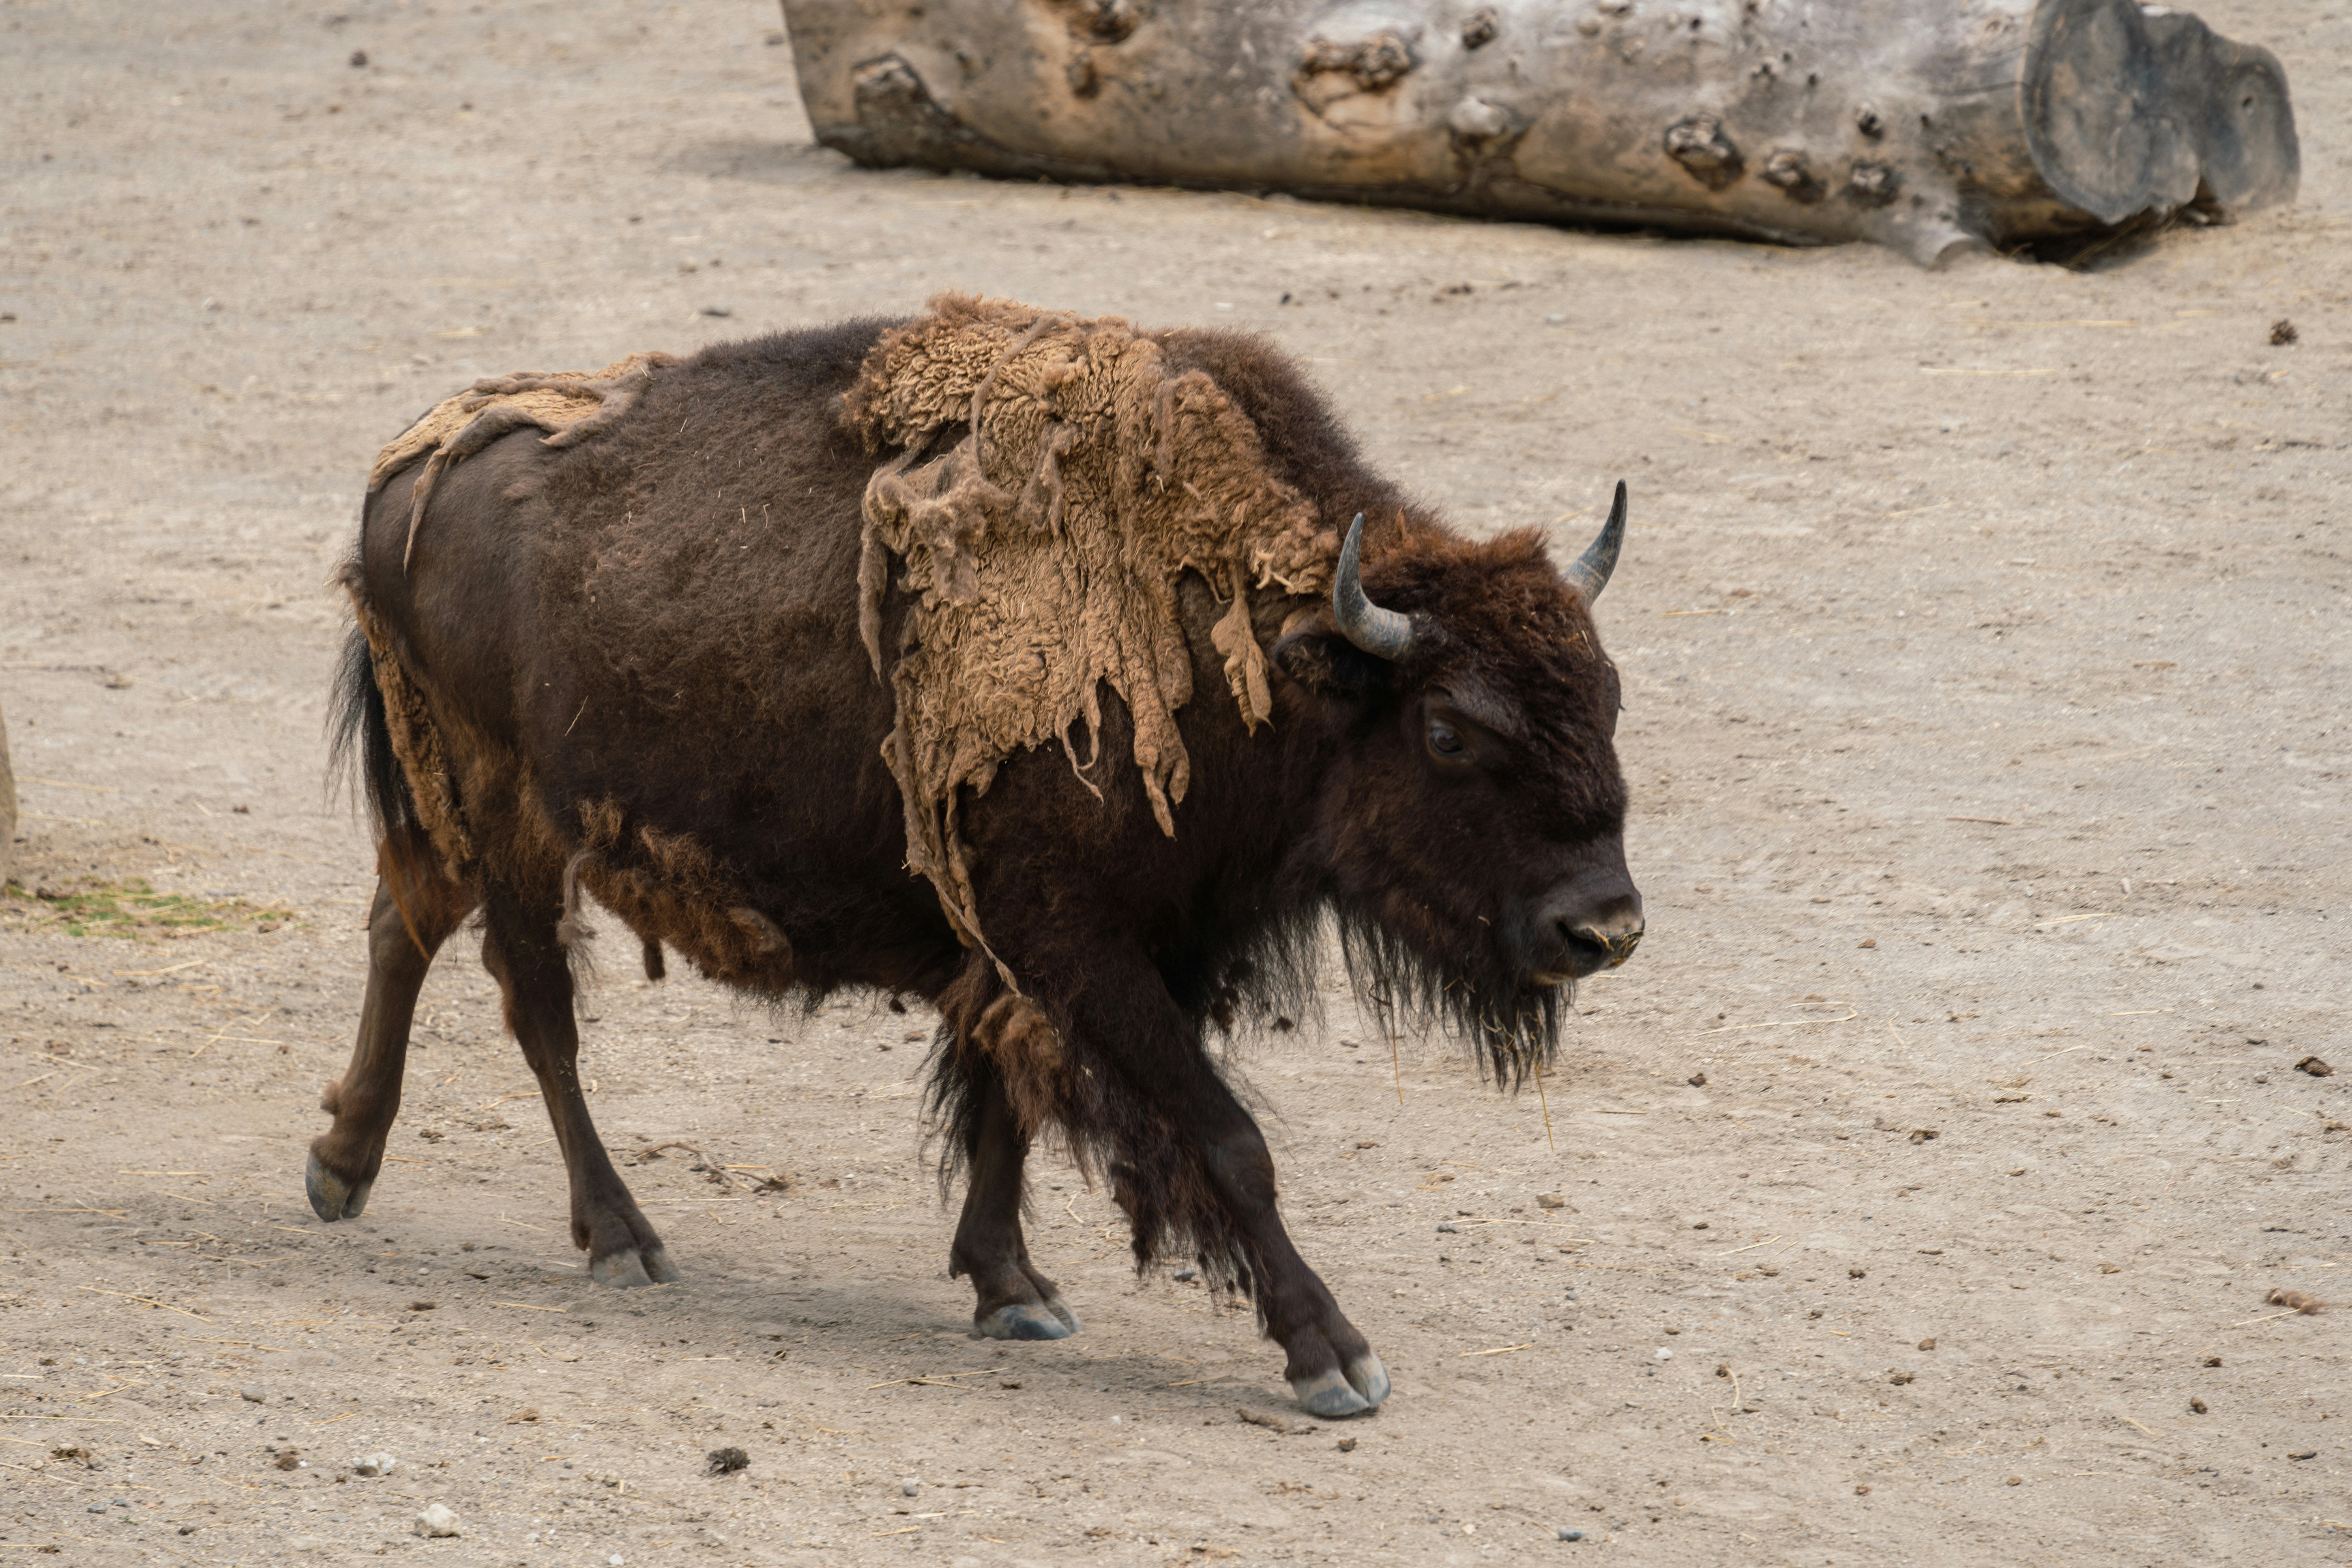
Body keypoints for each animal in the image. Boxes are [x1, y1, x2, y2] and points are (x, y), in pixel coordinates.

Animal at [314, 303, 1643, 1417]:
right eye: (1448, 729)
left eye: (1608, 695)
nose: (1604, 927)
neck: (1242, 635)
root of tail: (402, 475)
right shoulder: (1079, 942)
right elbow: (1225, 1138)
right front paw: (1334, 1356)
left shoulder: (1080, 943)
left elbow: (1009, 1093)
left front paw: (1013, 1289)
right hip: (512, 820)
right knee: (538, 1006)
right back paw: (621, 1238)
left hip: (453, 810)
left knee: (404, 921)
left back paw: (341, 1165)